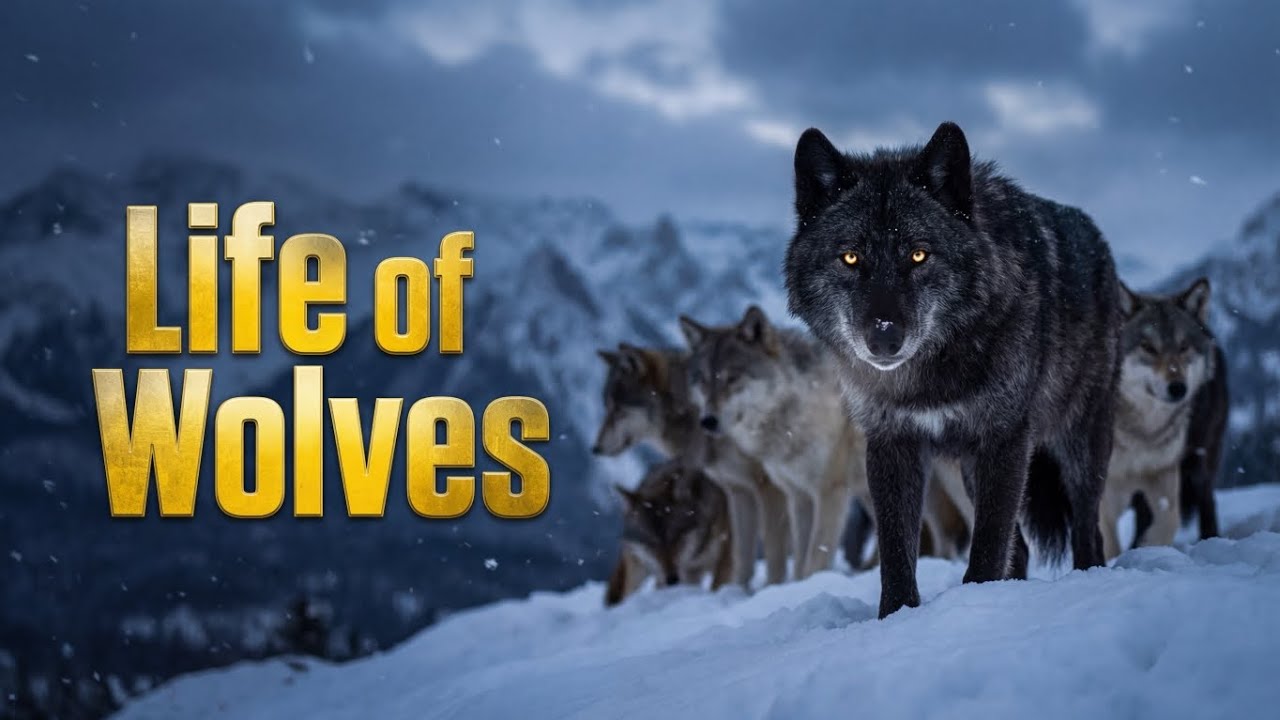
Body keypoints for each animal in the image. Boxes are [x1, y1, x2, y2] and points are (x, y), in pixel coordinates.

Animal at [604, 460, 732, 606]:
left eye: (675, 538)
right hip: (639, 571)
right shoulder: (686, 573)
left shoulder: (724, 560)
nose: (672, 580)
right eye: (651, 543)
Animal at [784, 121, 1121, 618]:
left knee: (1086, 530)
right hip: (969, 468)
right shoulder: (891, 443)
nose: (884, 338)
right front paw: (897, 617)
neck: (930, 373)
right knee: (1021, 547)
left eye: (919, 255)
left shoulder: (1005, 438)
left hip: (1079, 445)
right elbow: (896, 552)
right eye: (850, 257)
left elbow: (987, 545)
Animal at [1101, 278, 1225, 558]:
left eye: (1183, 347)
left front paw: (1147, 550)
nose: (1178, 388)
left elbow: (1170, 519)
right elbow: (1109, 541)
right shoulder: (1107, 487)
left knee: (1207, 501)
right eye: (1148, 347)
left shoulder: (1164, 474)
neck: (1141, 433)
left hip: (1199, 461)